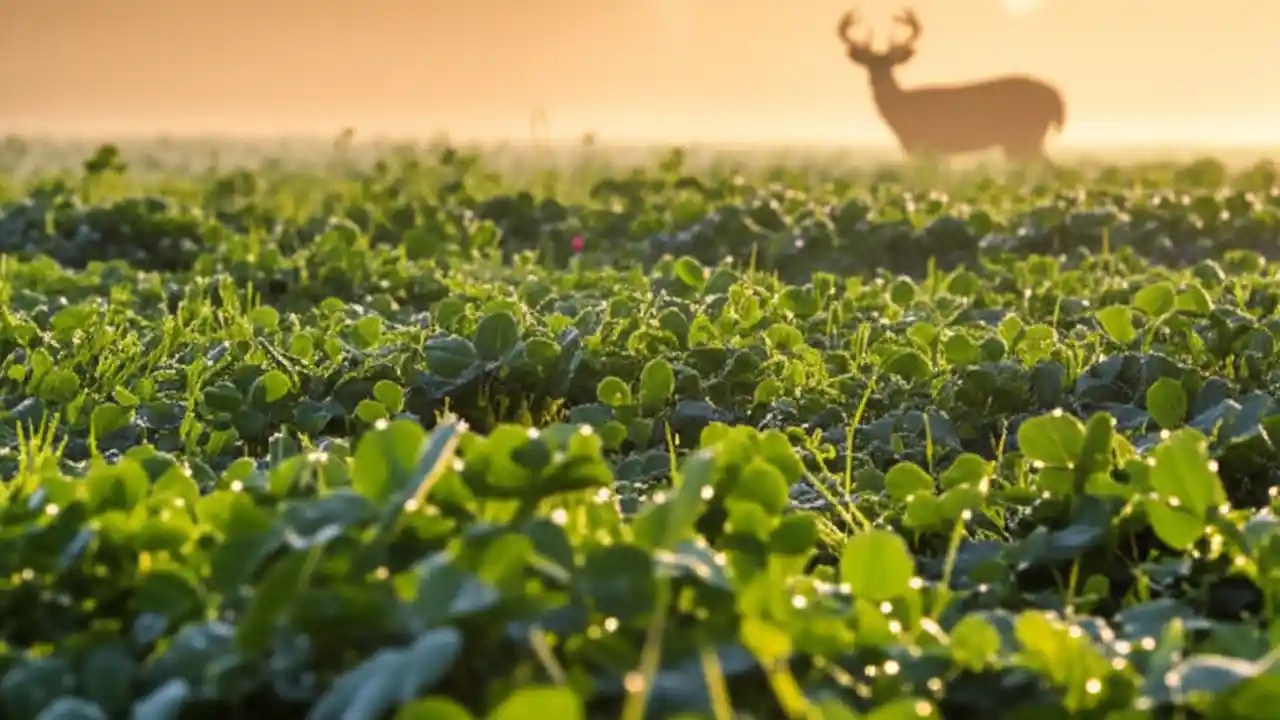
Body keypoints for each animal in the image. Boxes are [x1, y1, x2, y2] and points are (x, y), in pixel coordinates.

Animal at [837, 8, 1066, 163]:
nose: (877, 81)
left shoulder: (924, 144)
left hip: (1023, 137)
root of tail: (1055, 96)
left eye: (891, 64)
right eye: (869, 65)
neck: (902, 110)